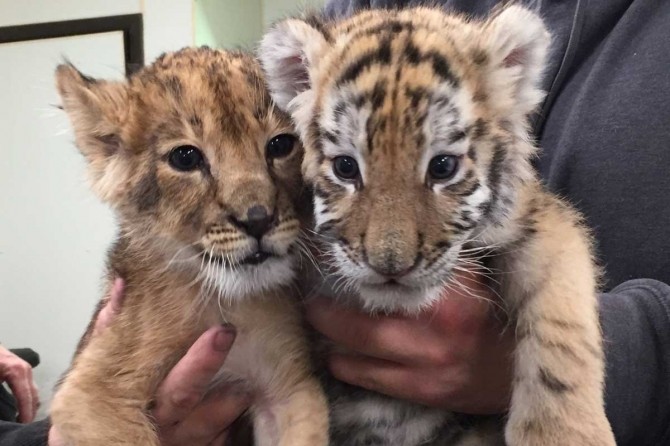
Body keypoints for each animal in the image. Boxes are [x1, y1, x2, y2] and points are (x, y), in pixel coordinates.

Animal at [49, 47, 328, 446]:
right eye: (185, 158)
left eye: (280, 145)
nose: (257, 220)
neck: (227, 304)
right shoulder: (91, 391)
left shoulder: (289, 389)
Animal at [259, 5, 616, 446]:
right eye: (345, 167)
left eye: (443, 167)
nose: (390, 266)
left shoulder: (539, 221)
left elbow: (560, 319)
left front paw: (562, 432)